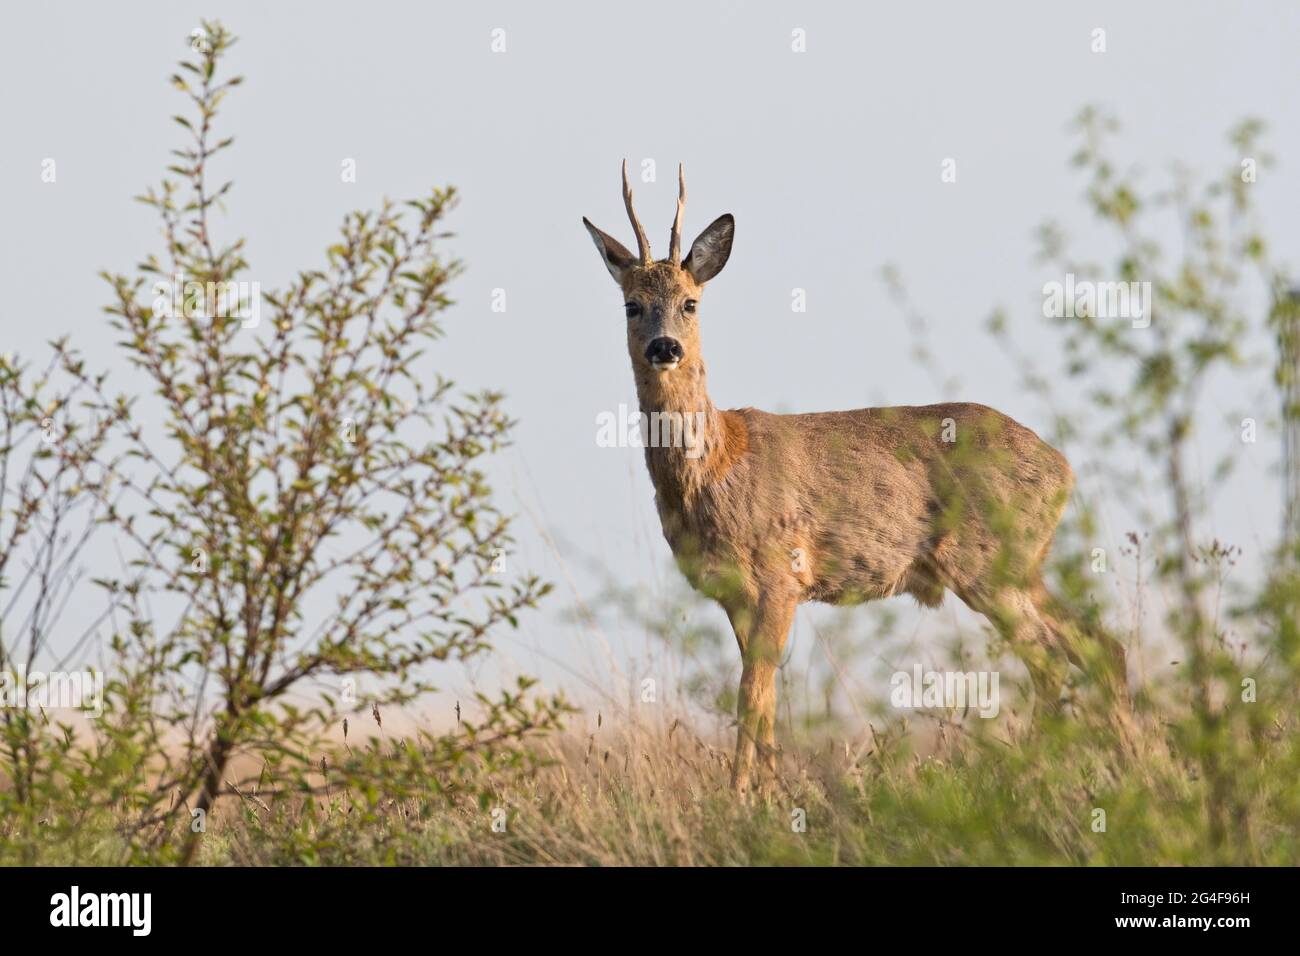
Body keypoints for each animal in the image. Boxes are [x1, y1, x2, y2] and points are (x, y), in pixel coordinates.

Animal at [583, 162, 1131, 795]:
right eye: (632, 305)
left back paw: (1034, 777)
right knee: (1101, 646)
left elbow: (752, 696)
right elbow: (766, 698)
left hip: (985, 561)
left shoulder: (780, 575)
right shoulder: (736, 594)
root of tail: (1063, 466)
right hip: (1026, 566)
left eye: (690, 303)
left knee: (1050, 662)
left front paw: (740, 797)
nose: (664, 347)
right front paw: (768, 794)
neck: (716, 467)